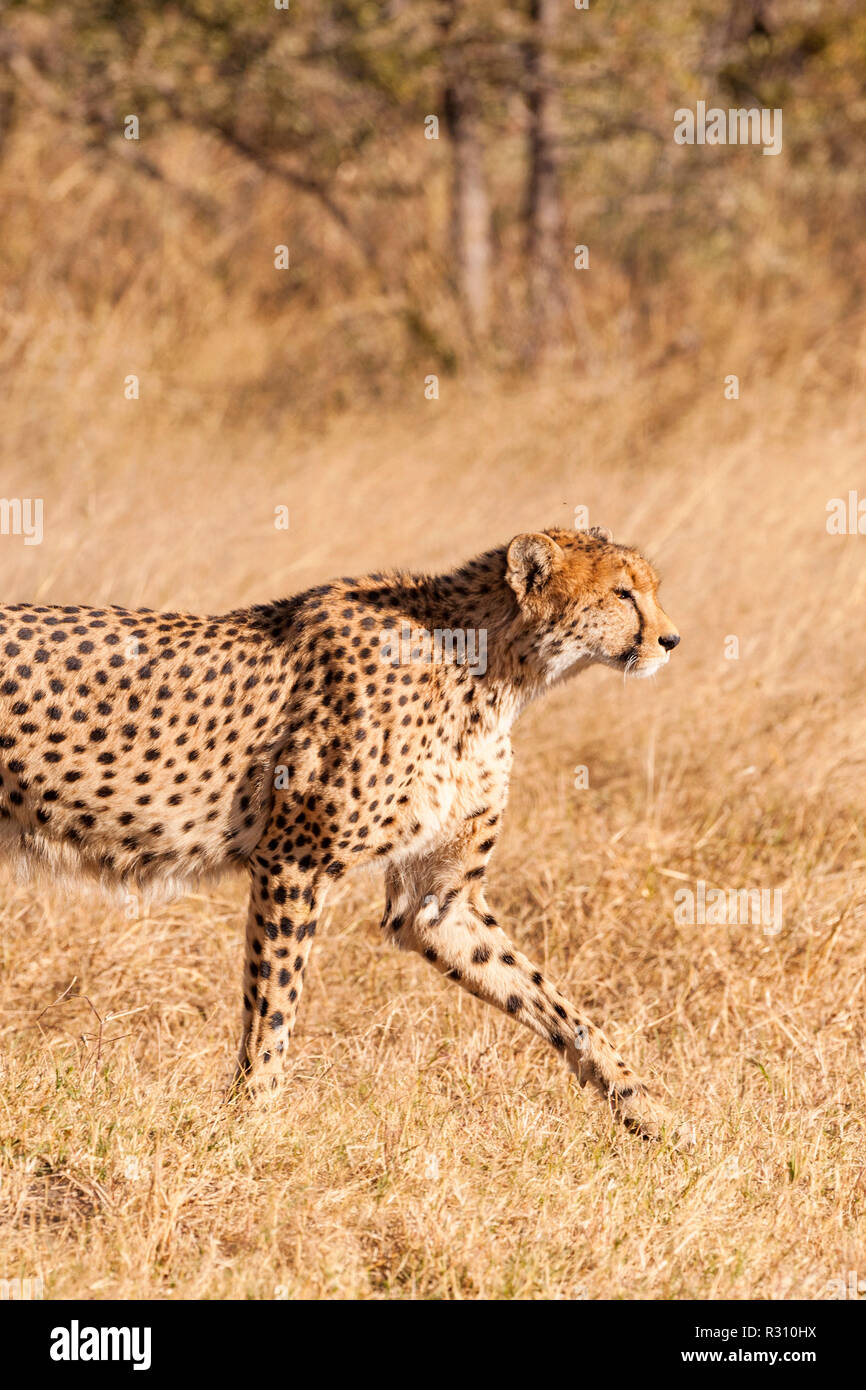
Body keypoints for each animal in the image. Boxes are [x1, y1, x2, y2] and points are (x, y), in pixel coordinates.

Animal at [0, 526, 681, 1138]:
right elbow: (274, 1005)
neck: (493, 671)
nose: (671, 640)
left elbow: (548, 997)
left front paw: (646, 1107)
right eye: (622, 594)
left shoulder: (439, 900)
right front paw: (252, 1120)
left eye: (649, 589)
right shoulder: (293, 861)